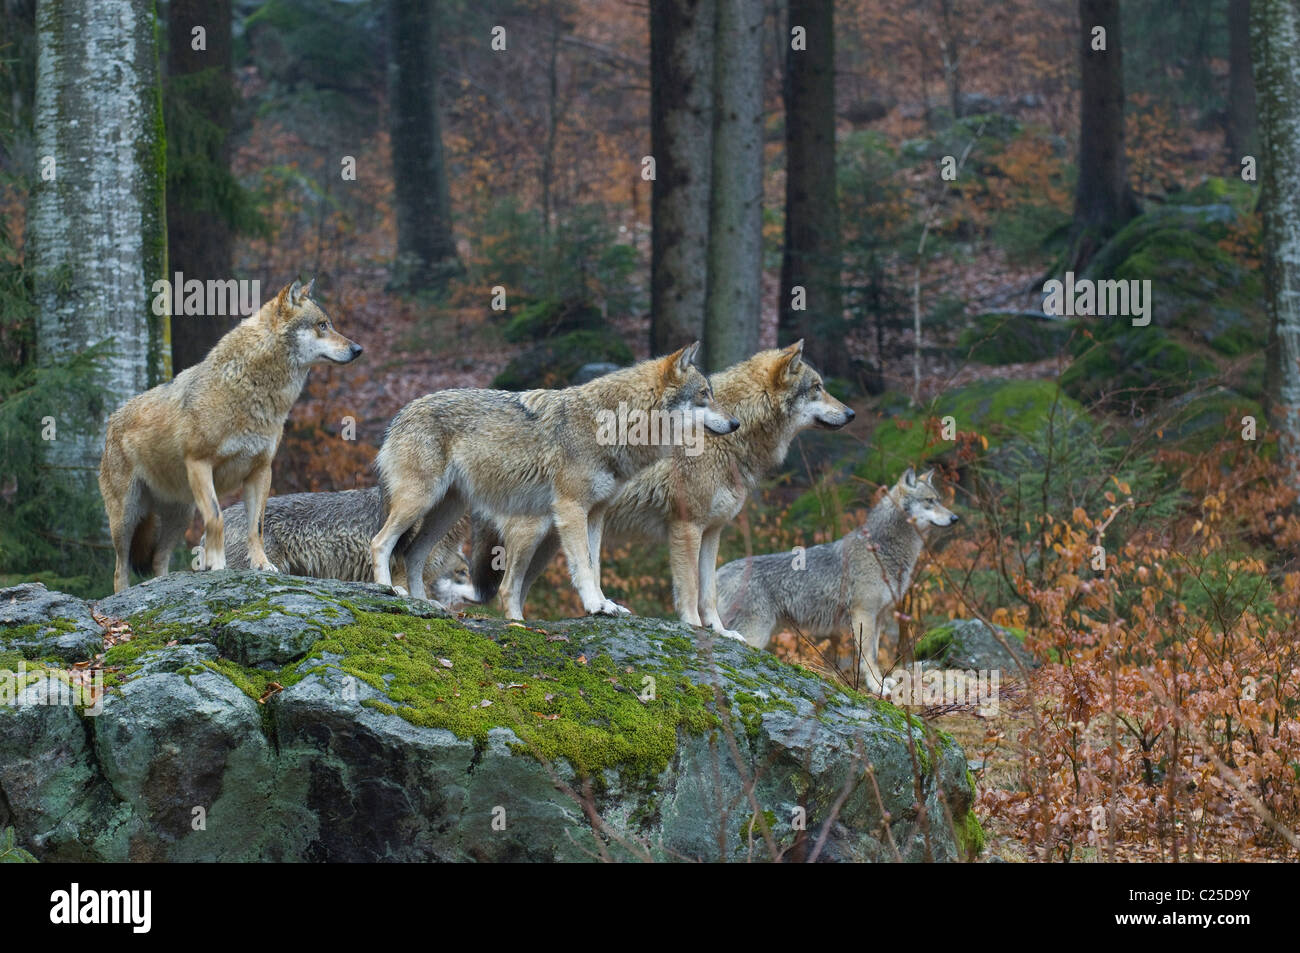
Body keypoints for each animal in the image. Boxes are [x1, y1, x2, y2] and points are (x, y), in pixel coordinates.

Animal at [98, 279, 362, 593]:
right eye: (322, 325)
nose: (358, 348)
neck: (256, 392)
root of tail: (112, 420)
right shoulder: (200, 464)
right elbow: (216, 517)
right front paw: (217, 565)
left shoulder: (261, 471)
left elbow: (256, 527)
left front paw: (263, 565)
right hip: (127, 518)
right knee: (119, 568)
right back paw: (124, 594)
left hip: (180, 516)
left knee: (158, 560)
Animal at [370, 342, 739, 615]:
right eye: (704, 393)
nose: (736, 423)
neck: (614, 425)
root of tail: (400, 414)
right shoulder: (571, 508)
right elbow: (583, 567)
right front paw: (594, 606)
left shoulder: (596, 513)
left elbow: (595, 566)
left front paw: (605, 604)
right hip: (421, 502)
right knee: (381, 542)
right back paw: (389, 590)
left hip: (446, 511)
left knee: (414, 555)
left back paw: (422, 603)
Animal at [476, 341, 855, 632]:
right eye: (818, 388)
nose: (851, 413)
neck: (732, 439)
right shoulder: (686, 527)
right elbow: (689, 590)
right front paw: (694, 628)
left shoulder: (713, 531)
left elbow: (709, 593)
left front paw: (720, 632)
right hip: (534, 536)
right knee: (506, 588)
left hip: (551, 546)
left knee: (519, 587)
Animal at [714, 467, 958, 693]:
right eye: (929, 501)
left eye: (939, 499)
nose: (955, 518)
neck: (883, 550)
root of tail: (720, 572)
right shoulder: (863, 614)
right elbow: (868, 655)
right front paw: (877, 686)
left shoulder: (879, 617)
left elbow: (875, 653)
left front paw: (882, 681)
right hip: (756, 634)